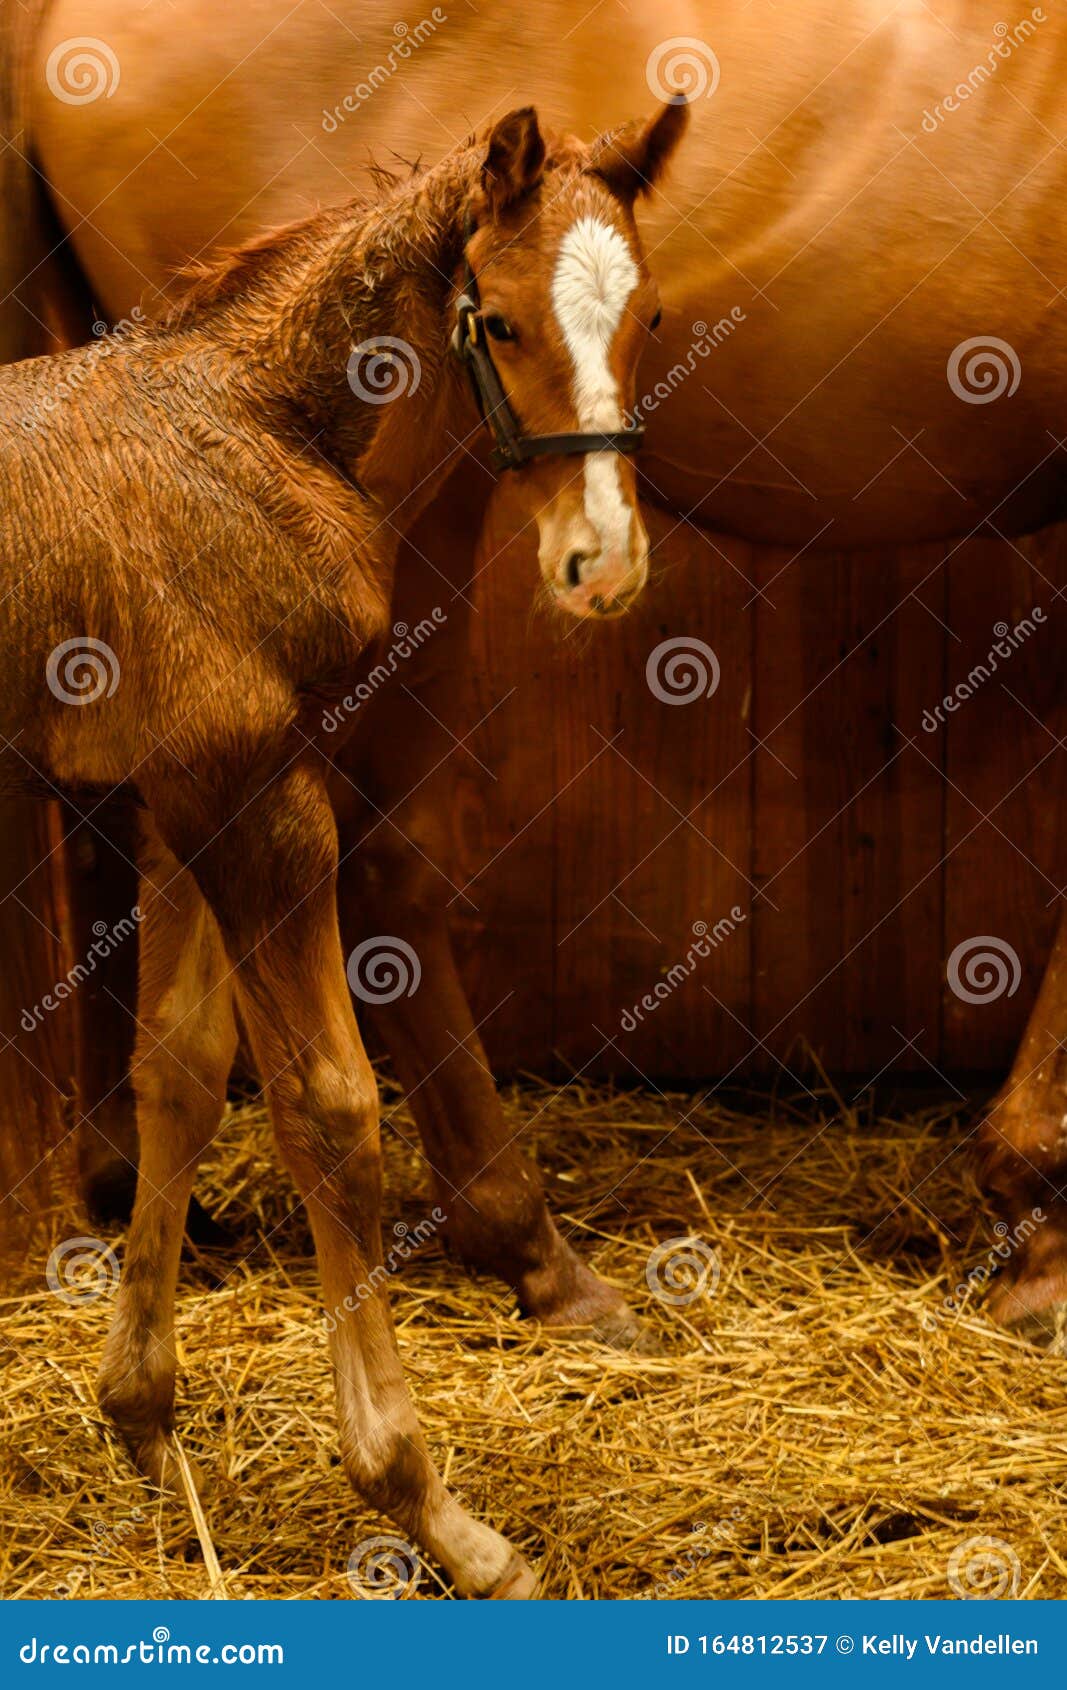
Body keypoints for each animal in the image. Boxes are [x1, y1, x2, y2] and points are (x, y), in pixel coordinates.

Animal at [0, 98, 687, 1597]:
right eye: (497, 319)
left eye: (649, 317)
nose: (602, 561)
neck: (254, 422)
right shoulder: (252, 796)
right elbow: (331, 1112)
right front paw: (431, 1510)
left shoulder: (198, 782)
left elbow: (179, 1070)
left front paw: (143, 1422)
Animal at [4, 0, 1067, 1343]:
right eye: (499, 320)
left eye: (651, 319)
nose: (605, 558)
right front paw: (1037, 1222)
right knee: (377, 858)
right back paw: (524, 1245)